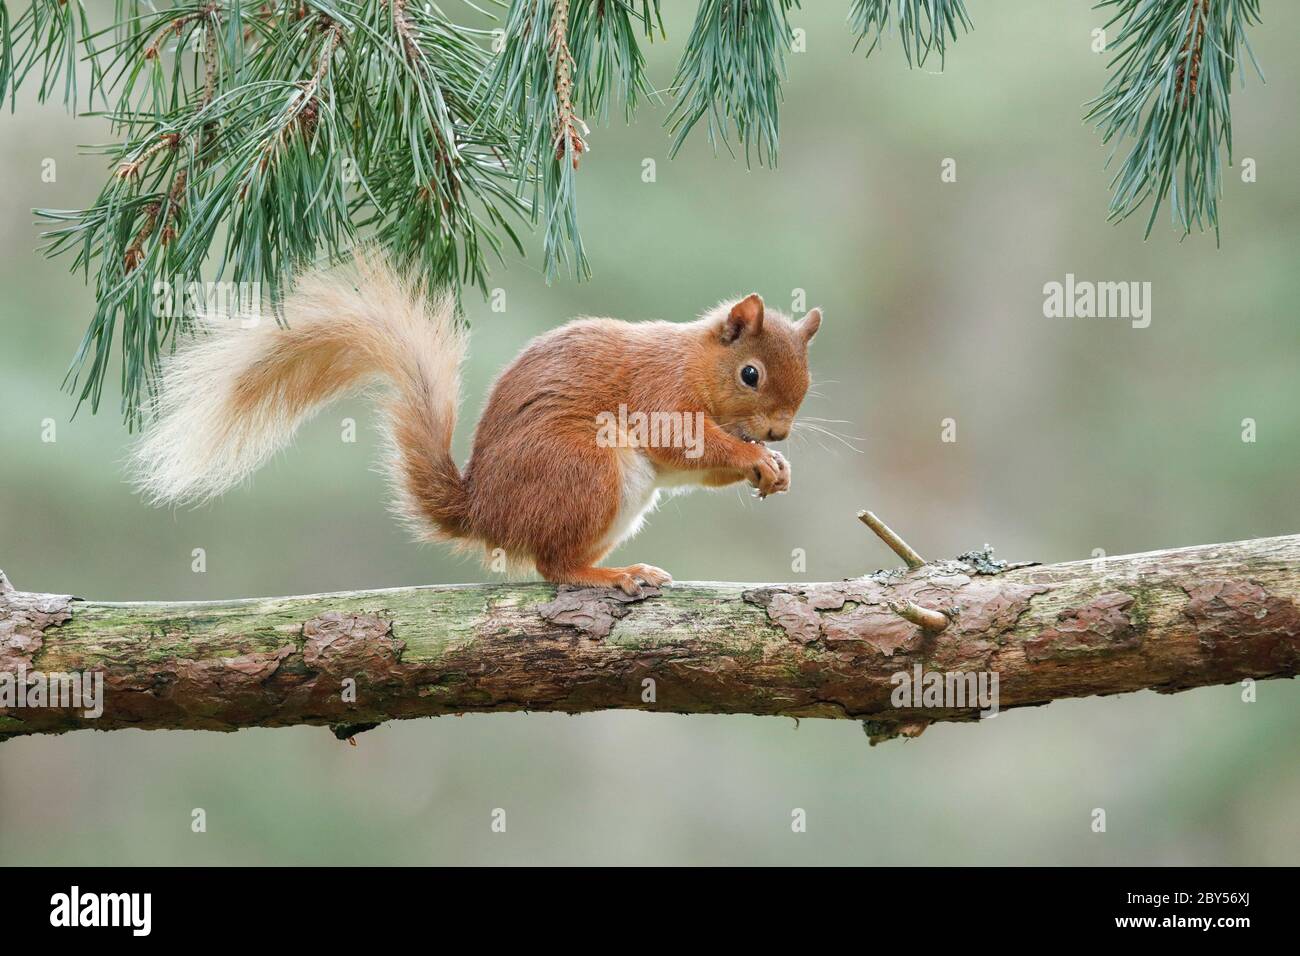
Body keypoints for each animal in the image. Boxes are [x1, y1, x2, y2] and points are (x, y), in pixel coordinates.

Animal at [132, 255, 822, 595]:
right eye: (752, 374)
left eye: (807, 383)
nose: (780, 434)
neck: (695, 364)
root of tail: (486, 511)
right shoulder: (660, 396)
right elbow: (688, 444)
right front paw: (754, 458)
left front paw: (778, 469)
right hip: (588, 469)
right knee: (553, 568)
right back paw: (613, 576)